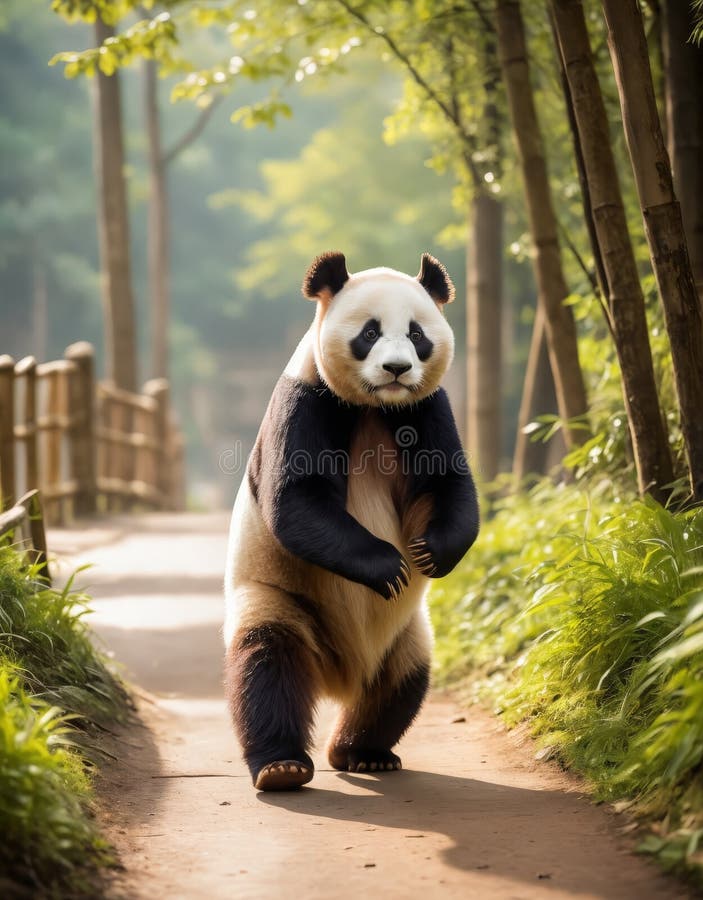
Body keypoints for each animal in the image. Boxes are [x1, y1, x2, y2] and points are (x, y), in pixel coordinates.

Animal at [224, 251, 479, 791]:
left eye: (417, 334)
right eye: (369, 332)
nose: (397, 369)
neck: (373, 406)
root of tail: (340, 674)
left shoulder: (427, 408)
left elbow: (448, 483)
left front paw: (428, 553)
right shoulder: (307, 398)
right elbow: (296, 500)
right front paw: (389, 567)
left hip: (407, 636)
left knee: (402, 682)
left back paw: (362, 752)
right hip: (279, 598)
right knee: (267, 663)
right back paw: (281, 765)